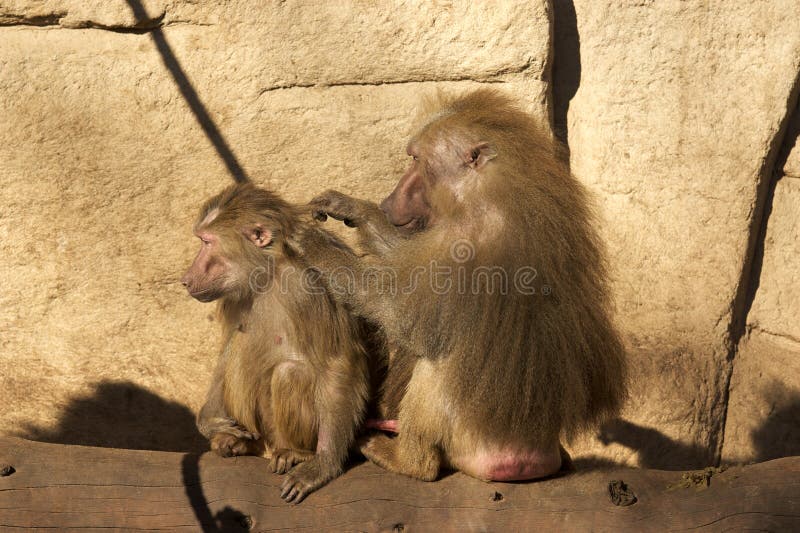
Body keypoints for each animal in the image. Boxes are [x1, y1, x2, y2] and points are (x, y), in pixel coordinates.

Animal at [181, 182, 372, 503]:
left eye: (206, 242)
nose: (185, 279)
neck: (267, 272)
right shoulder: (234, 296)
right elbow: (227, 348)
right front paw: (210, 422)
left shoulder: (307, 286)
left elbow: (336, 361)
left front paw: (324, 464)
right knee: (239, 348)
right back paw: (240, 445)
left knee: (289, 372)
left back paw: (295, 453)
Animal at [310, 88, 628, 482]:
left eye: (416, 159)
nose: (386, 201)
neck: (483, 192)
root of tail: (537, 457)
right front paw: (352, 208)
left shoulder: (465, 241)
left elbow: (404, 316)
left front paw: (312, 246)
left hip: (470, 434)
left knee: (437, 360)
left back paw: (406, 460)